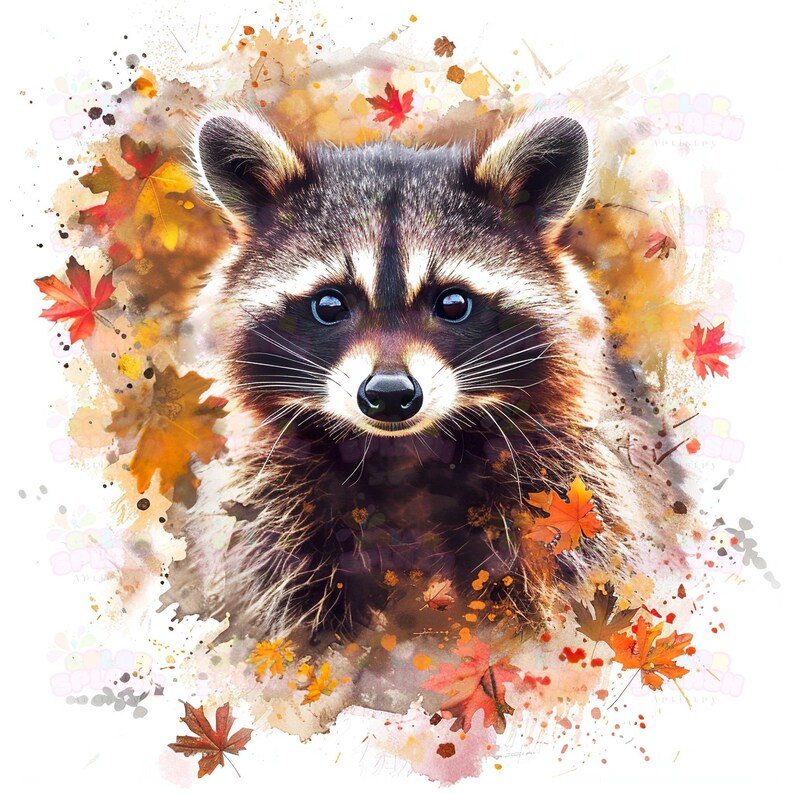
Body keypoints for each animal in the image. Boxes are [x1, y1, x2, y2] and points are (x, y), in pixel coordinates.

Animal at [170, 107, 683, 645]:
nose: (390, 395)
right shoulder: (265, 500)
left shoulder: (568, 485)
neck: (402, 453)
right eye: (330, 304)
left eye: (453, 303)